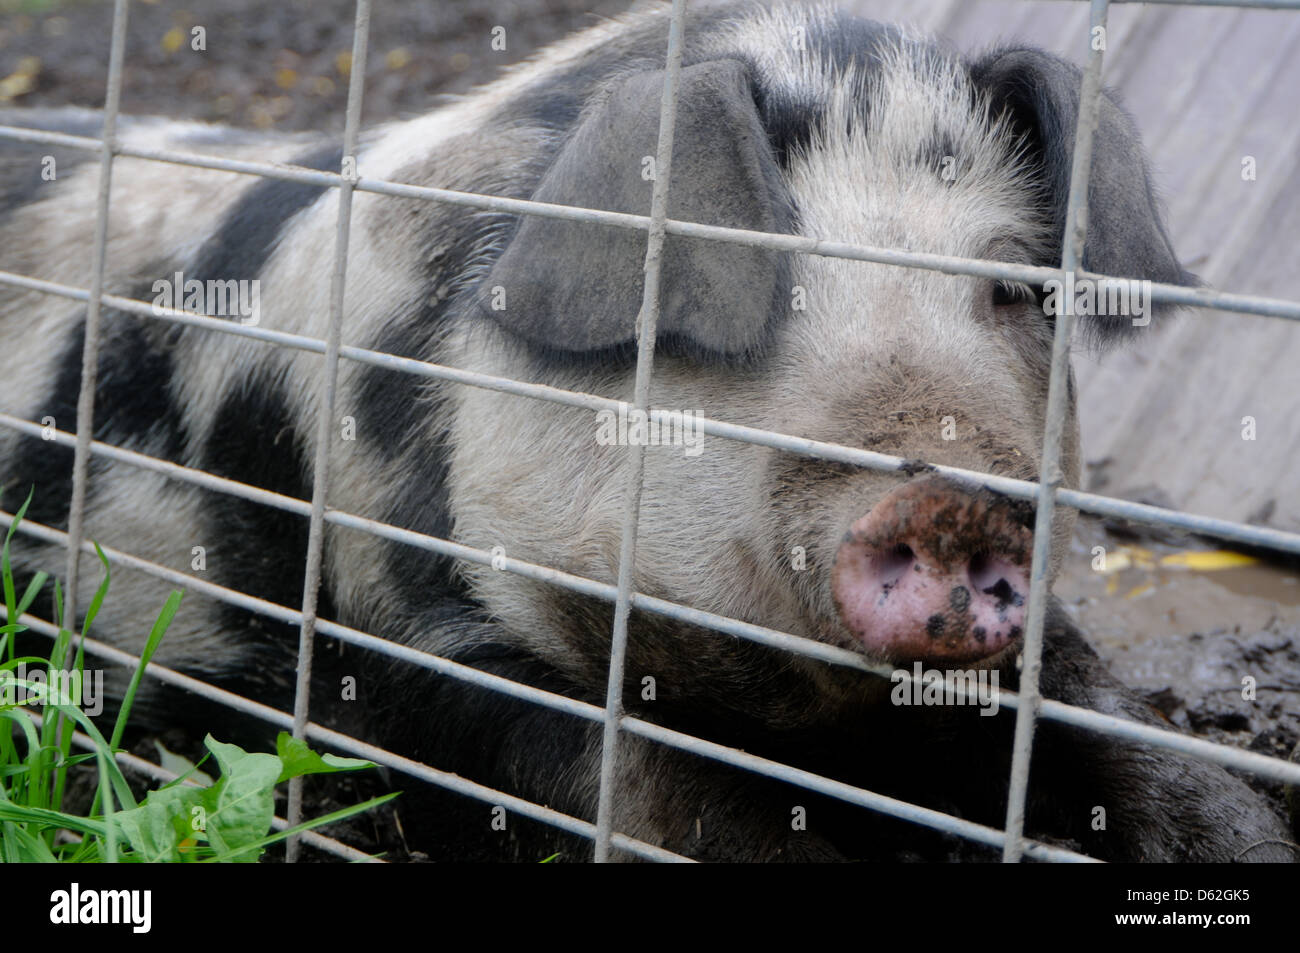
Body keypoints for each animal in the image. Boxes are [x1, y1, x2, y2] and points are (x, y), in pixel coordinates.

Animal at [0, 0, 1294, 862]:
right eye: (752, 277)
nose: (950, 491)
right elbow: (653, 804)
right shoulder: (417, 634)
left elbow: (1129, 741)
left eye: (1017, 287)